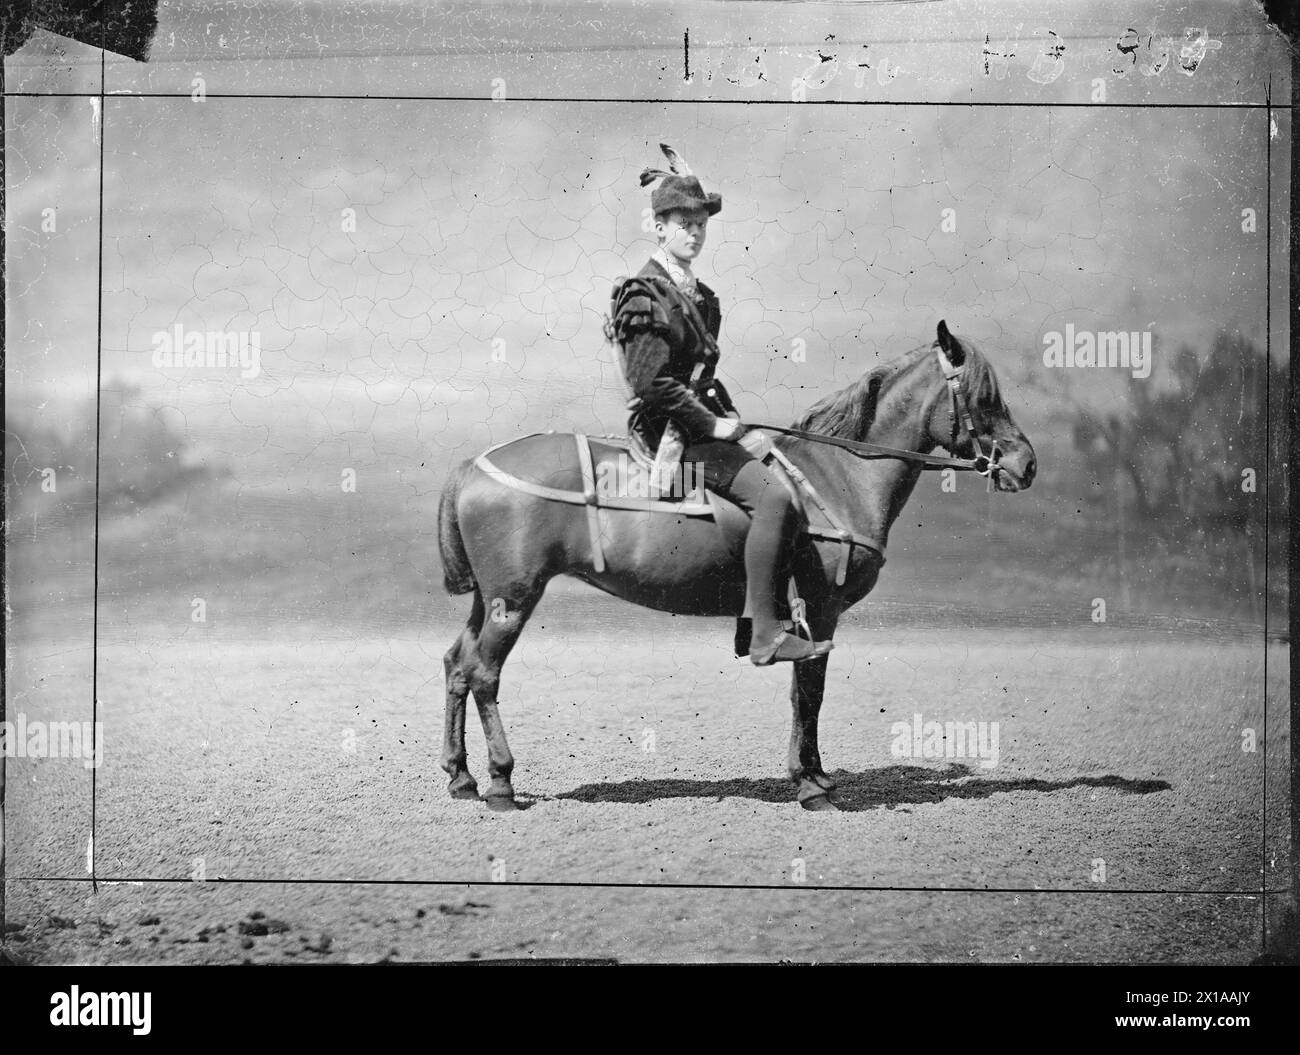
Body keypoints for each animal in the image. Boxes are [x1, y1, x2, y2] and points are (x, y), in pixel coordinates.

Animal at [435, 321, 1037, 811]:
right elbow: (810, 692)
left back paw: (461, 777)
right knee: (484, 673)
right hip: (515, 598)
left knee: (457, 665)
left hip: (489, 599)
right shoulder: (821, 608)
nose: (1025, 464)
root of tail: (474, 465)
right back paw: (500, 782)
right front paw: (812, 785)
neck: (839, 475)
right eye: (984, 397)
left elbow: (801, 692)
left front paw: (814, 775)